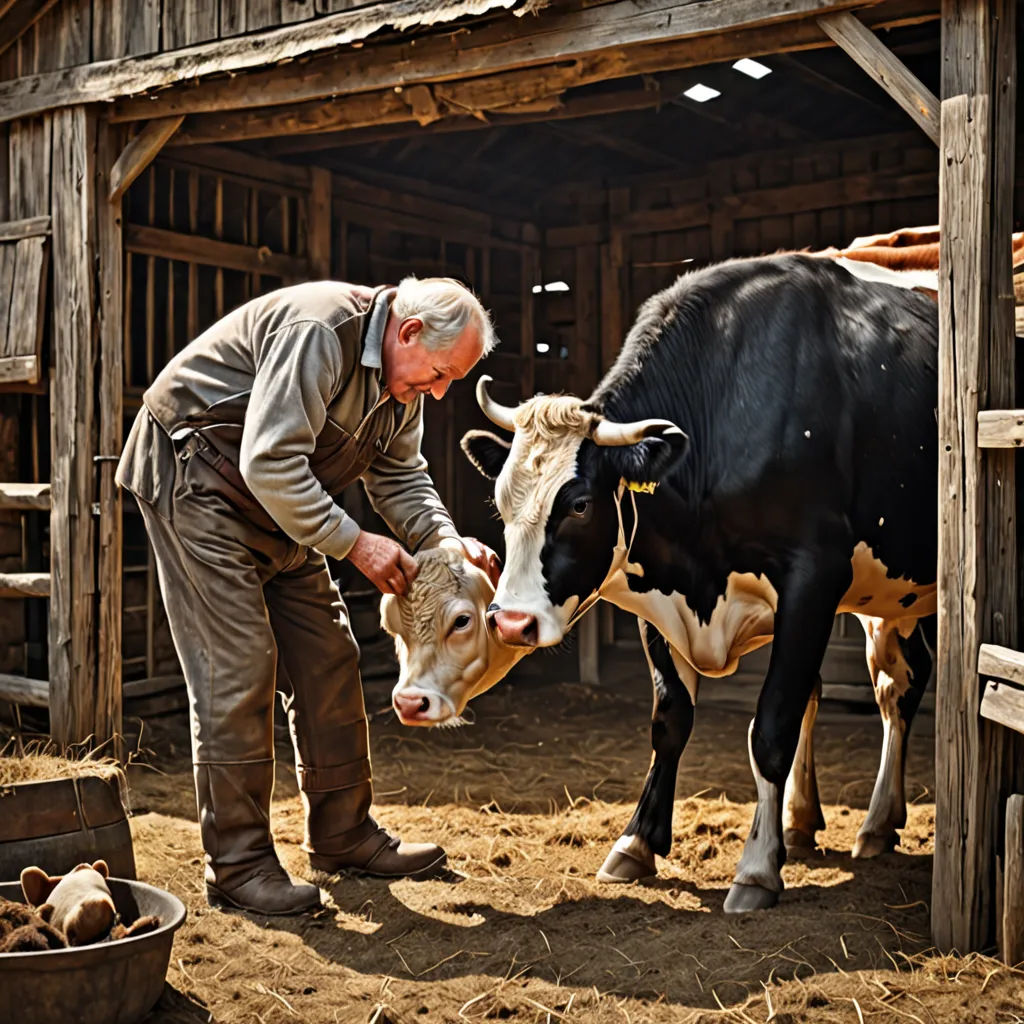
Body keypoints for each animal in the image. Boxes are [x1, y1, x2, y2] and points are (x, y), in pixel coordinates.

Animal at [454, 252, 939, 913]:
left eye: (579, 504)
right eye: (501, 498)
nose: (509, 621)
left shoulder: (813, 578)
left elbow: (772, 724)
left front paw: (757, 869)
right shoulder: (658, 597)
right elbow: (672, 718)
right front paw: (637, 842)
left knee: (895, 687)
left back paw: (866, 822)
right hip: (883, 595)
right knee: (891, 684)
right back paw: (841, 823)